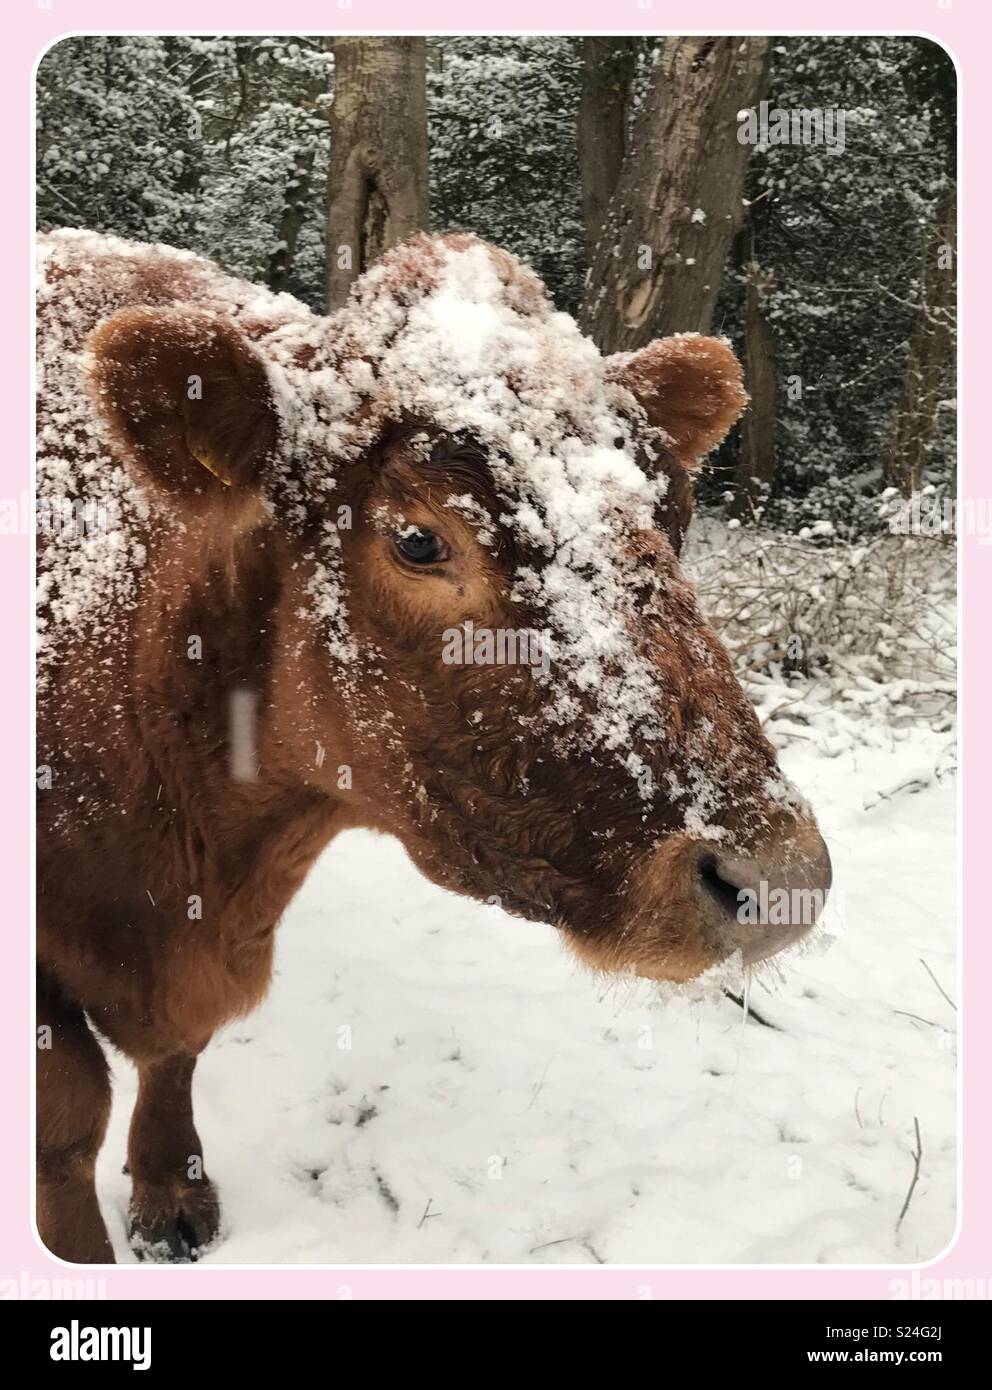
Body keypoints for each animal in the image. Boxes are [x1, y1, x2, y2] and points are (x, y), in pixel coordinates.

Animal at [36, 228, 831, 1264]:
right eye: (419, 539)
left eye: (672, 513)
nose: (779, 880)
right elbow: (67, 1115)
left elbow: (177, 1052)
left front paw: (173, 1189)